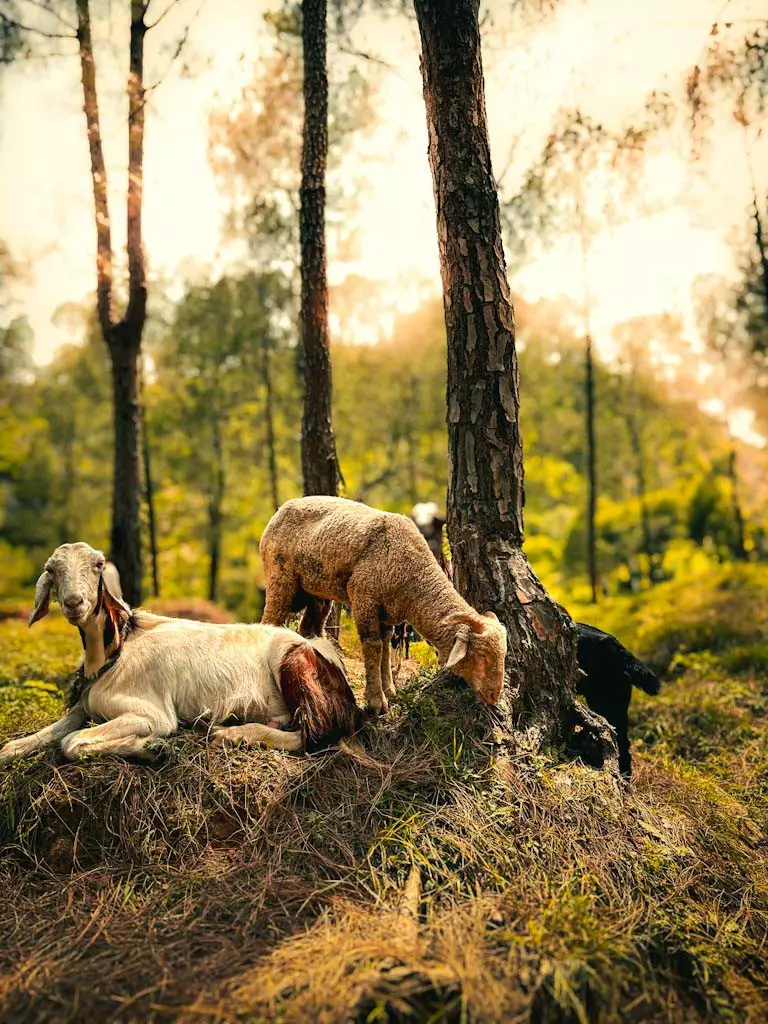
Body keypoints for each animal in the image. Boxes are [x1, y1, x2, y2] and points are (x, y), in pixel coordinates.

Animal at [0, 542, 364, 763]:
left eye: (98, 564)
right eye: (52, 570)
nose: (74, 603)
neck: (115, 654)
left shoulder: (152, 714)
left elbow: (72, 742)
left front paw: (151, 747)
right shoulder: (83, 707)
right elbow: (32, 740)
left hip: (292, 663)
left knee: (316, 734)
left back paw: (231, 735)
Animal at [260, 496, 508, 714]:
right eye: (482, 656)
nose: (494, 696)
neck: (415, 580)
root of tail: (281, 510)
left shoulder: (388, 612)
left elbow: (386, 645)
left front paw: (389, 689)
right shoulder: (364, 597)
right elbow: (373, 646)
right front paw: (376, 702)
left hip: (317, 591)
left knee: (309, 629)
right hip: (280, 578)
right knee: (270, 622)